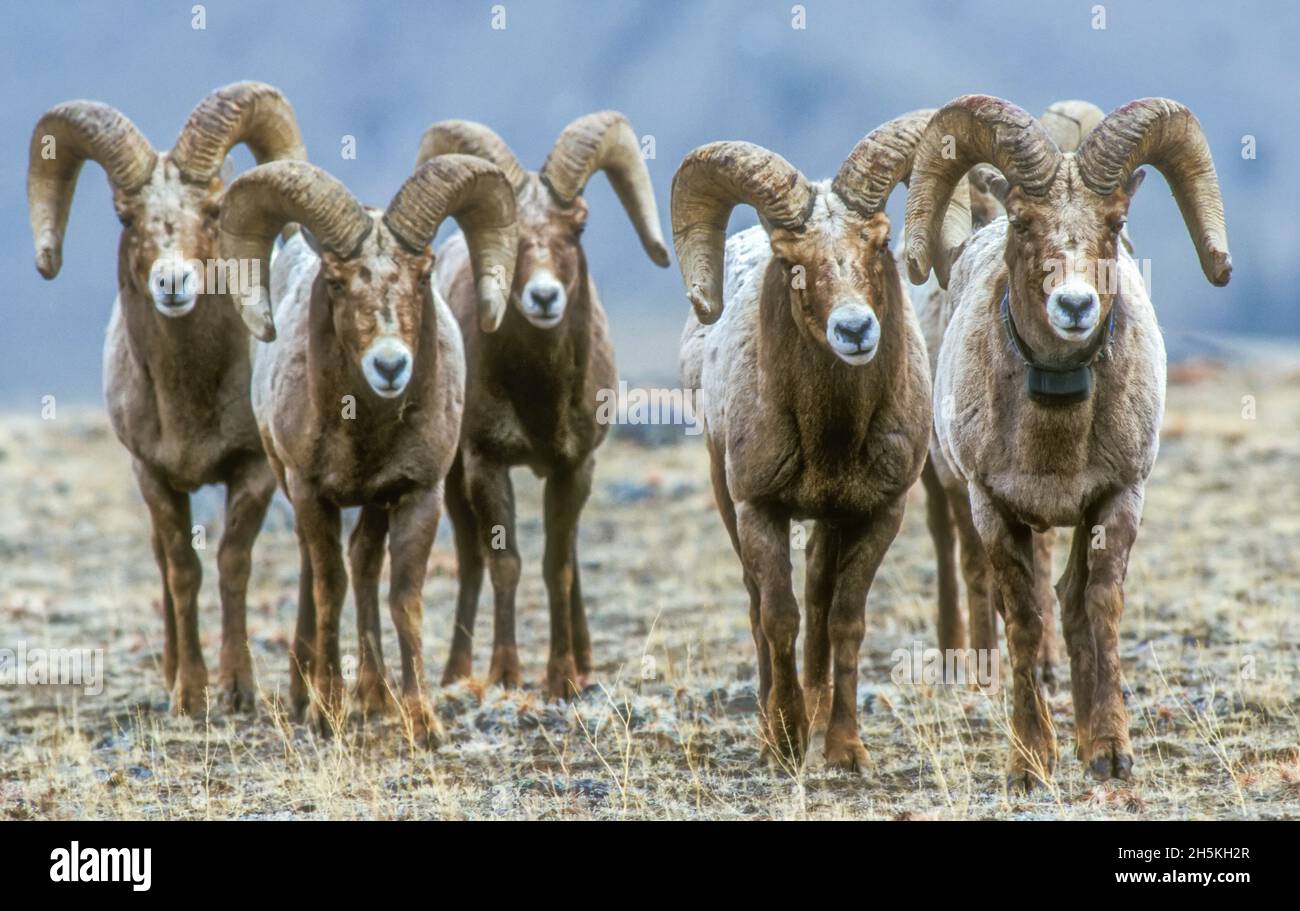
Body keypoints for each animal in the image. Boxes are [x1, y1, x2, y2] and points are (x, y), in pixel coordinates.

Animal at [25, 82, 306, 715]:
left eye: (213, 211)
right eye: (125, 216)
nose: (172, 284)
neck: (189, 402)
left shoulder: (252, 470)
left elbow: (232, 563)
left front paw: (237, 690)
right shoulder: (151, 475)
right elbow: (182, 570)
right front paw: (190, 694)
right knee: (161, 561)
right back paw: (173, 669)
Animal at [218, 155, 518, 745]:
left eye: (423, 274)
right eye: (335, 282)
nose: (390, 365)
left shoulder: (416, 494)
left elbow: (404, 598)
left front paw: (422, 722)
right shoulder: (311, 493)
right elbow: (328, 588)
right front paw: (324, 713)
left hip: (376, 504)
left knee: (363, 561)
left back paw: (375, 697)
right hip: (291, 485)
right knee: (318, 570)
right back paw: (308, 692)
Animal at [412, 112, 669, 699]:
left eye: (578, 227)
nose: (545, 297)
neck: (540, 397)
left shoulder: (575, 467)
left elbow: (559, 568)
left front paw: (562, 678)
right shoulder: (485, 464)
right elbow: (504, 563)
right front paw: (505, 676)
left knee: (566, 554)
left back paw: (586, 660)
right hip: (453, 480)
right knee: (470, 561)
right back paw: (456, 671)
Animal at [672, 111, 966, 769]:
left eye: (880, 241)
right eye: (790, 261)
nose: (854, 329)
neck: (831, 436)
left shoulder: (878, 513)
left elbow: (844, 621)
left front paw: (844, 749)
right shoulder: (759, 509)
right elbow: (777, 617)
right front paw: (782, 742)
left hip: (829, 522)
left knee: (818, 596)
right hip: (727, 495)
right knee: (760, 607)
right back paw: (775, 722)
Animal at [918, 100, 1110, 684]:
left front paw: (1047, 662)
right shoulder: (964, 474)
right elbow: (978, 562)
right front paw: (983, 664)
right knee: (948, 544)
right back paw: (958, 655)